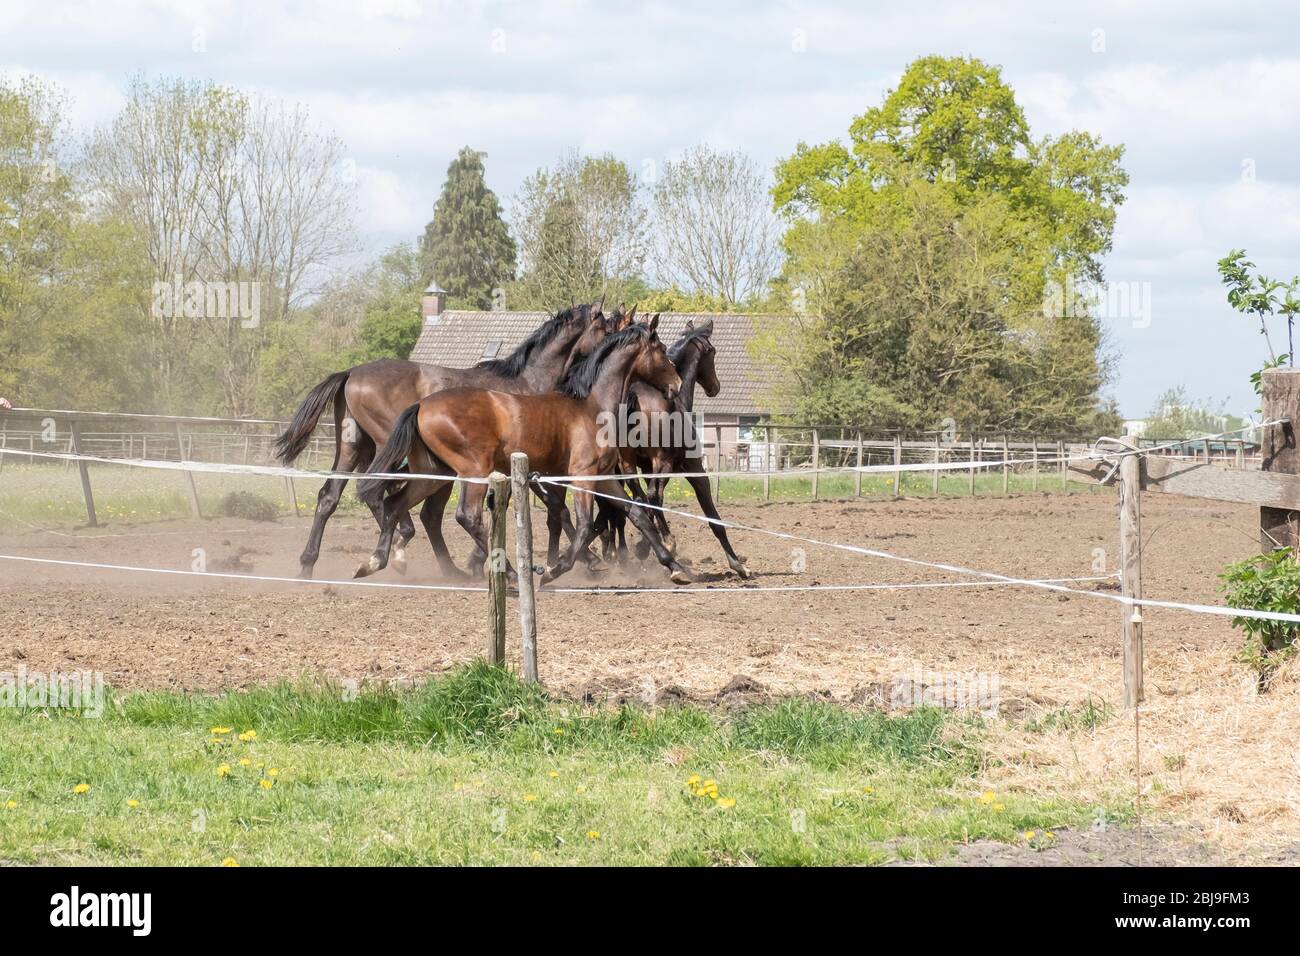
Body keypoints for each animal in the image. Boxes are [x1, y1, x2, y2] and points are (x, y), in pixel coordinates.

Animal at [274, 302, 626, 579]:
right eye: (606, 326)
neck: (527, 382)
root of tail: (351, 373)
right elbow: (554, 508)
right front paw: (586, 560)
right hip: (388, 448)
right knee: (378, 492)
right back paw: (400, 548)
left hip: (353, 448)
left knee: (331, 497)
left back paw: (309, 563)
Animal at [356, 318, 692, 585]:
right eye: (662, 349)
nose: (676, 384)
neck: (592, 406)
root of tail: (421, 405)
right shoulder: (582, 476)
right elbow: (583, 524)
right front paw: (557, 570)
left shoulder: (604, 477)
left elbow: (638, 514)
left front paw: (676, 568)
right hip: (473, 471)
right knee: (468, 517)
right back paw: (512, 574)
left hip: (433, 472)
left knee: (396, 504)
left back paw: (374, 562)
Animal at [599, 319, 750, 578]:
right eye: (712, 352)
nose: (715, 387)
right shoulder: (693, 468)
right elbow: (713, 517)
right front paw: (736, 563)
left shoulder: (646, 467)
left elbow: (643, 502)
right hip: (662, 463)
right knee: (650, 496)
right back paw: (664, 545)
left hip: (628, 464)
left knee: (636, 499)